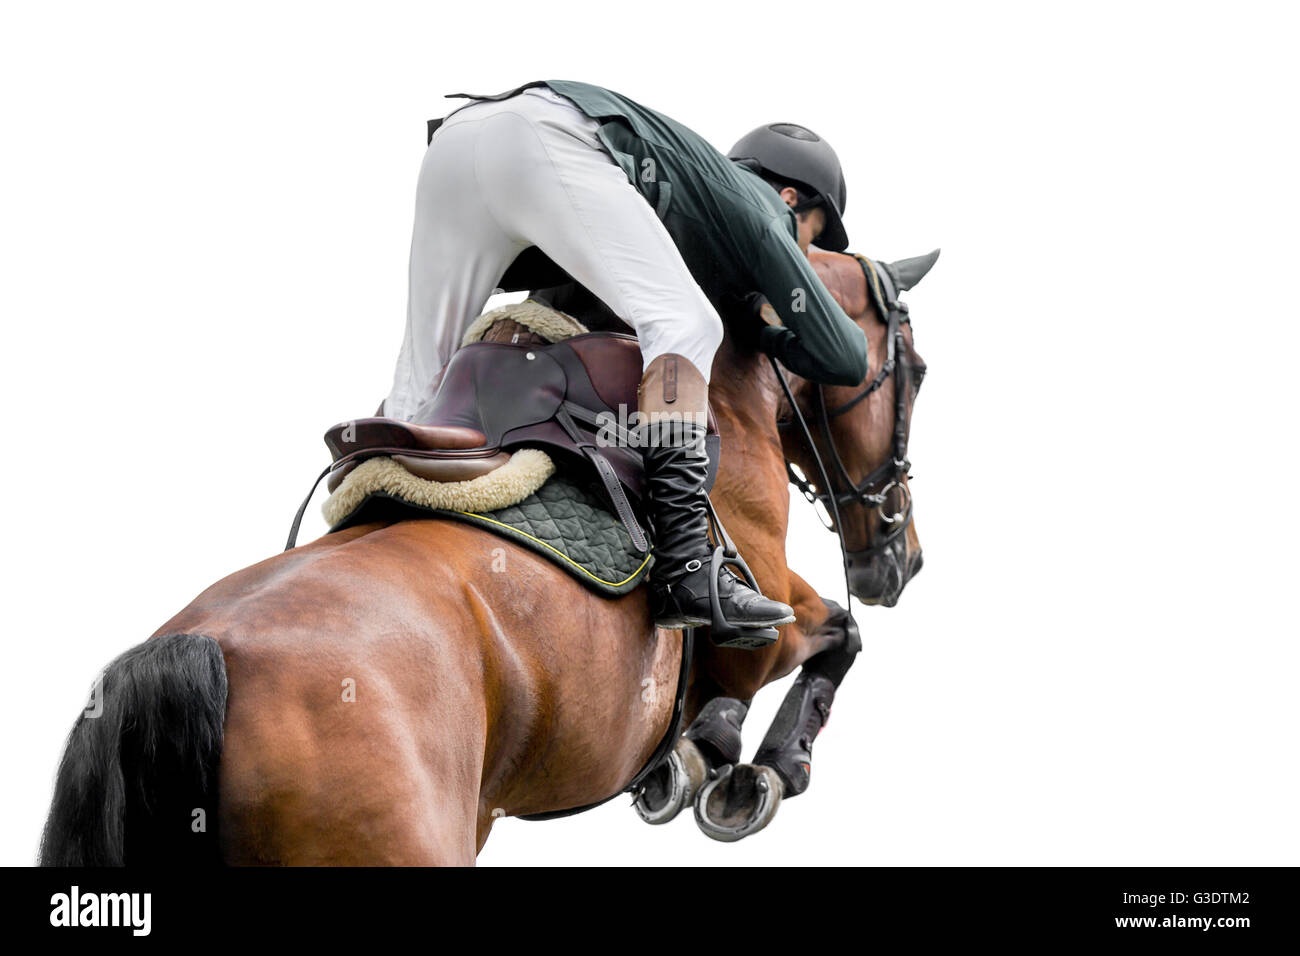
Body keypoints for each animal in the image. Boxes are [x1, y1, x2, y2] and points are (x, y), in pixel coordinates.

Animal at [38, 248, 927, 865]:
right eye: (916, 372)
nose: (900, 563)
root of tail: (195, 654)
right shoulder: (764, 617)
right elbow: (834, 636)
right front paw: (751, 767)